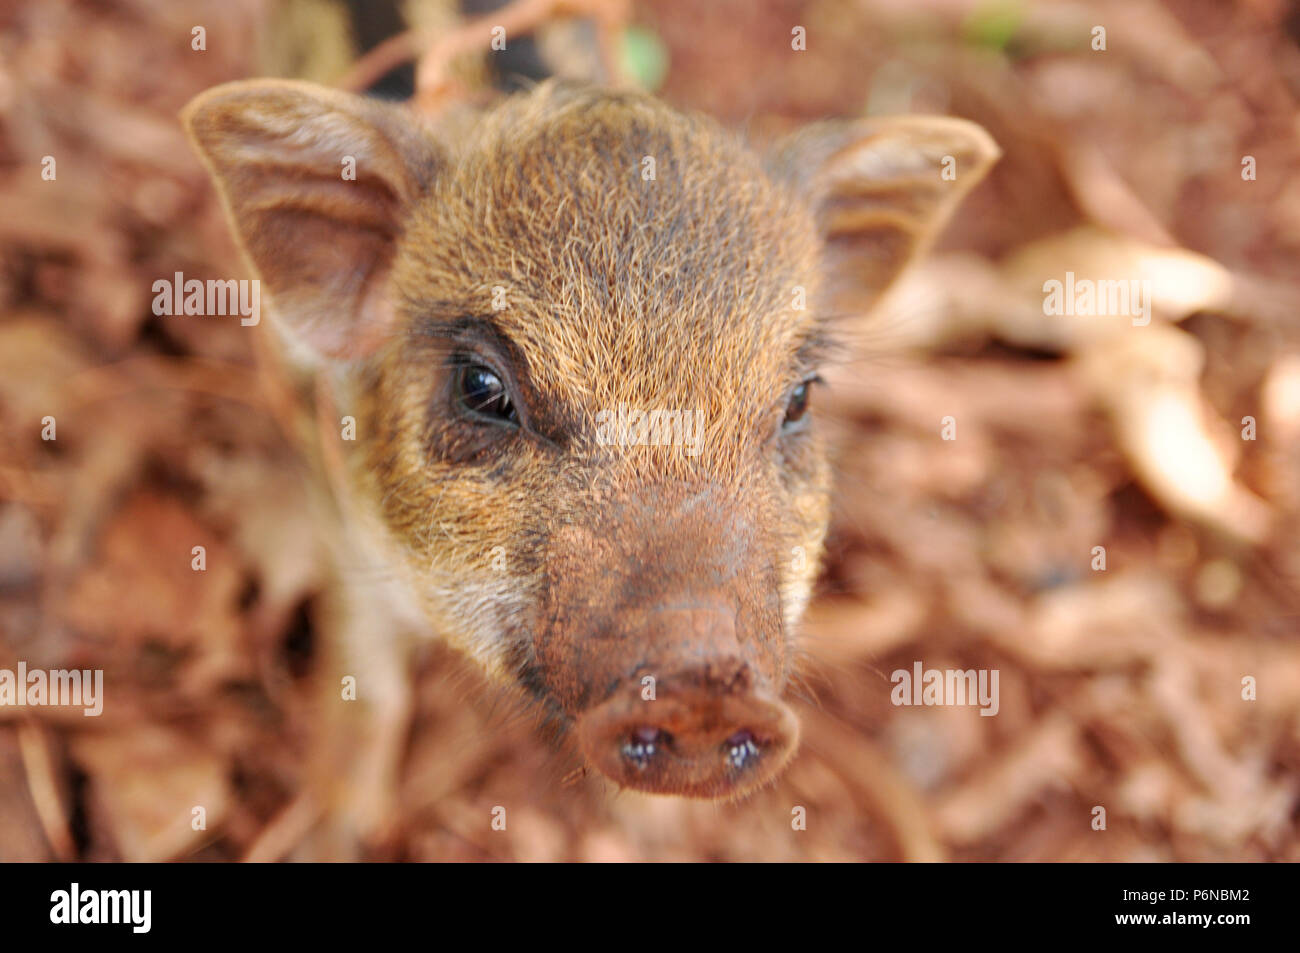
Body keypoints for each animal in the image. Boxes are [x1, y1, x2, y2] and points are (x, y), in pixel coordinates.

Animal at [181, 78, 997, 848]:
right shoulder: (344, 530)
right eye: (481, 386)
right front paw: (340, 833)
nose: (703, 684)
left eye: (798, 398)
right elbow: (370, 685)